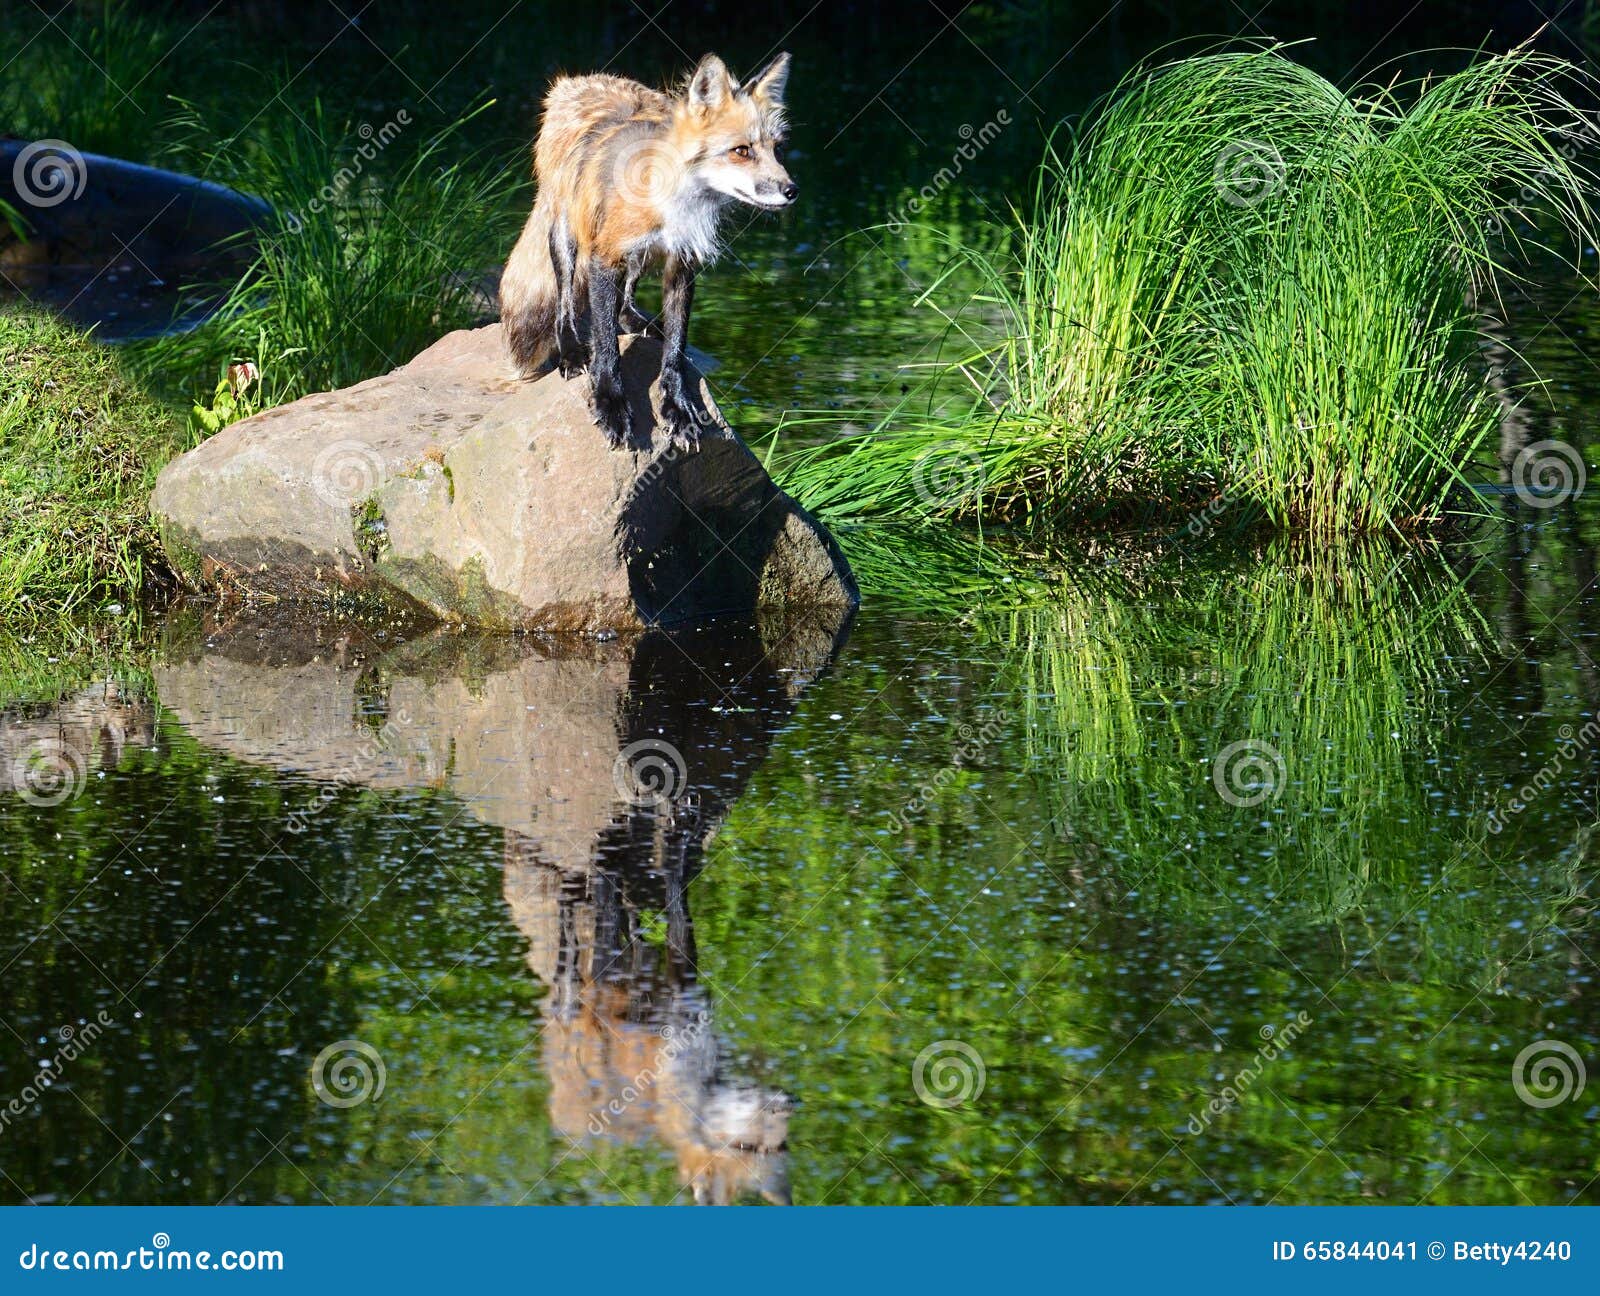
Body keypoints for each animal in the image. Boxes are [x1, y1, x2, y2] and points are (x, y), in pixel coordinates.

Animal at [499, 51, 796, 449]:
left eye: (777, 149)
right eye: (741, 151)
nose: (791, 190)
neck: (672, 201)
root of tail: (577, 79)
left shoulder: (682, 265)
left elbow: (675, 348)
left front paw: (677, 407)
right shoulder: (604, 257)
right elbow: (606, 344)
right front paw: (611, 403)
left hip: (641, 254)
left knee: (627, 299)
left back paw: (635, 320)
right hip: (567, 231)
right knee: (564, 302)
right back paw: (572, 350)